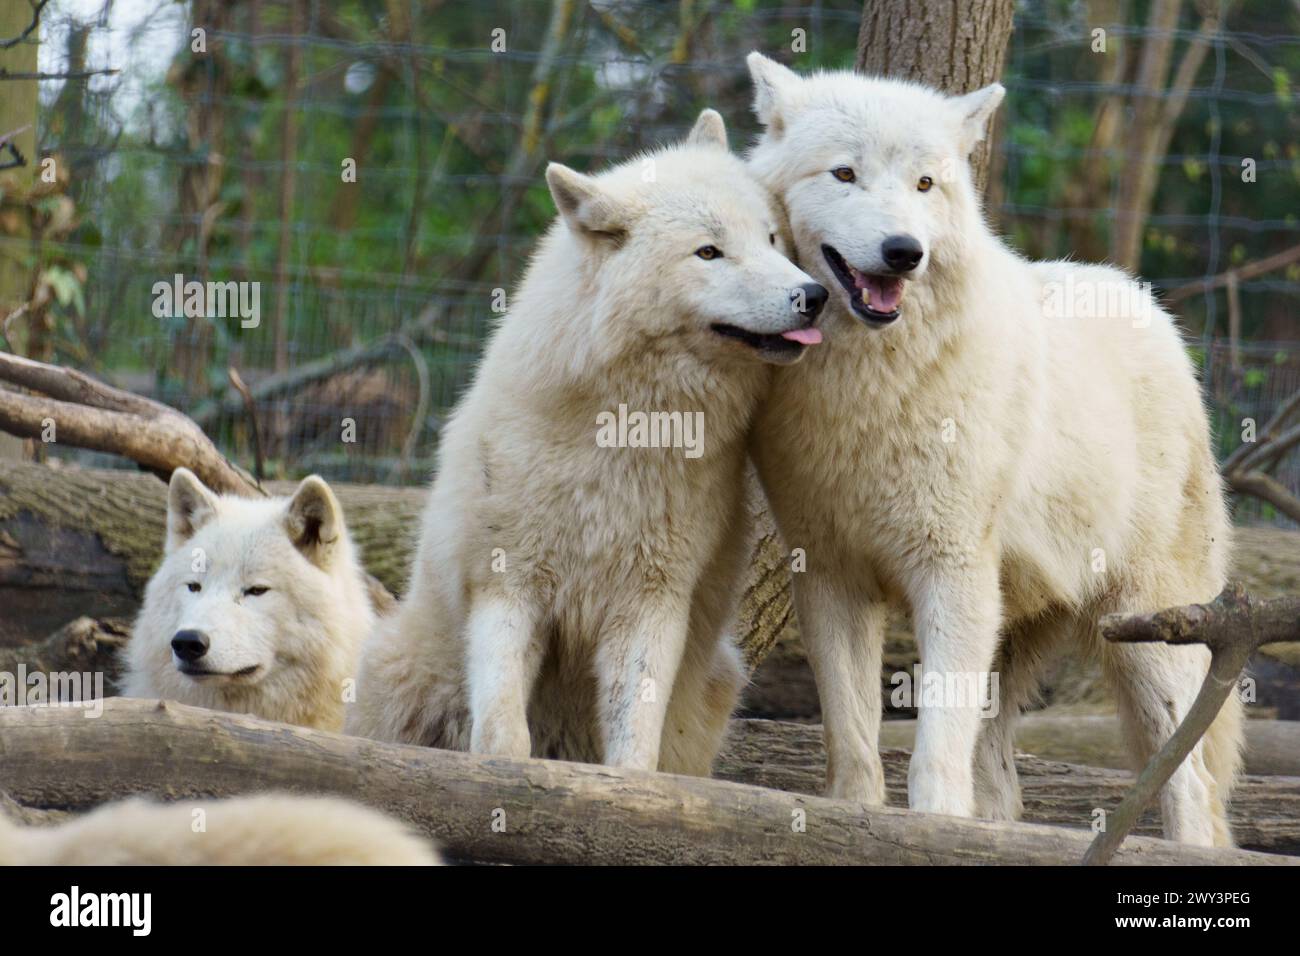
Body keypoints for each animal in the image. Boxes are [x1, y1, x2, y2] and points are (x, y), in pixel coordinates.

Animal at [346, 109, 827, 774]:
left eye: (774, 240)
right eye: (709, 251)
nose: (815, 295)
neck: (620, 432)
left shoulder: (653, 600)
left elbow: (633, 743)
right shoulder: (508, 585)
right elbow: (501, 731)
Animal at [744, 53, 1241, 845]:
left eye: (925, 184)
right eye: (845, 174)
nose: (903, 252)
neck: (869, 384)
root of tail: (1152, 308)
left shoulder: (952, 572)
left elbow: (933, 753)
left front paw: (931, 828)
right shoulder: (829, 576)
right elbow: (852, 744)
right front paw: (854, 819)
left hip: (1148, 631)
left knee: (1189, 783)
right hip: (1019, 630)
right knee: (1002, 780)